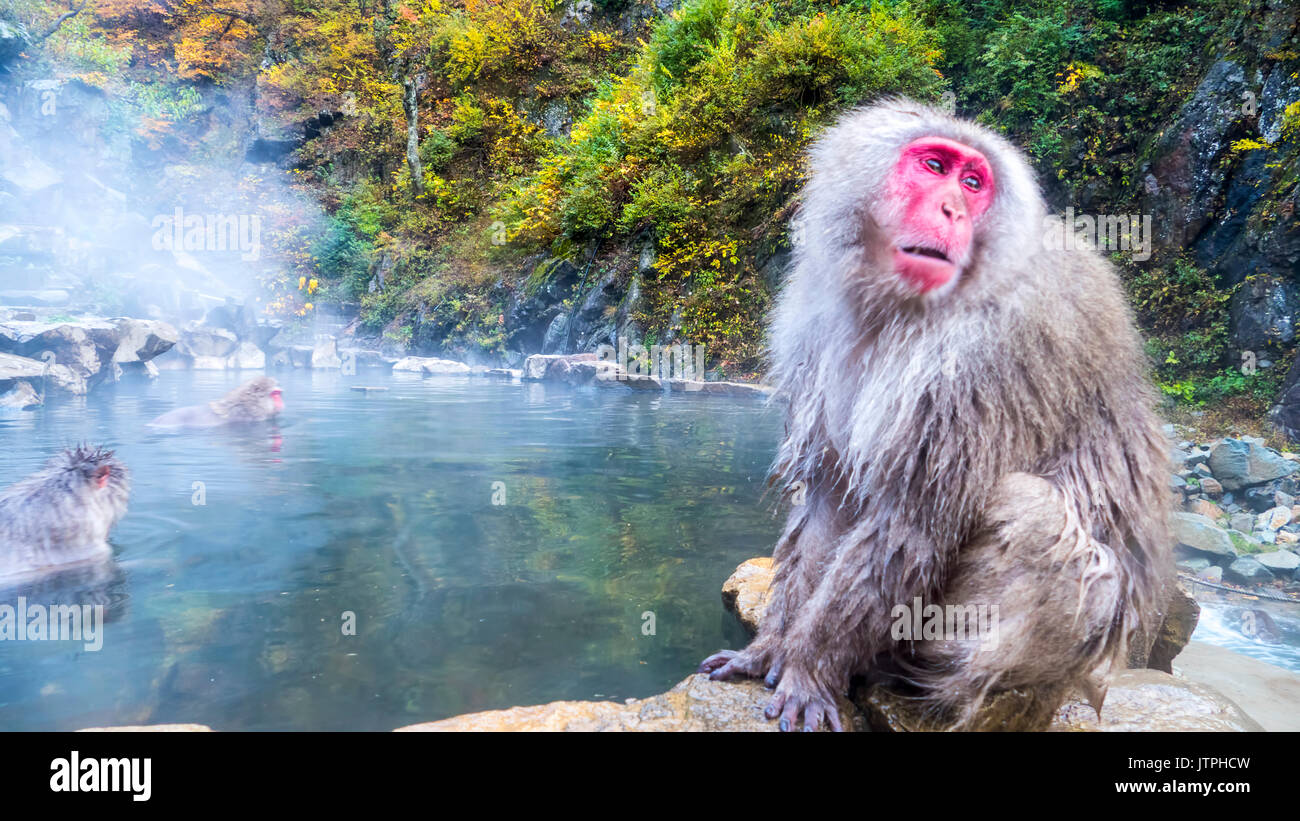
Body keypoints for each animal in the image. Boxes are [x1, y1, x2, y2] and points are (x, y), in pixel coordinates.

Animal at [699, 98, 1172, 731]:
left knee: (1032, 511)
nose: (952, 209)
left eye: (972, 184)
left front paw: (809, 666)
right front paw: (769, 649)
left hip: (1077, 653)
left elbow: (915, 521)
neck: (901, 305)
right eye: (934, 166)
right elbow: (831, 496)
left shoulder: (992, 349)